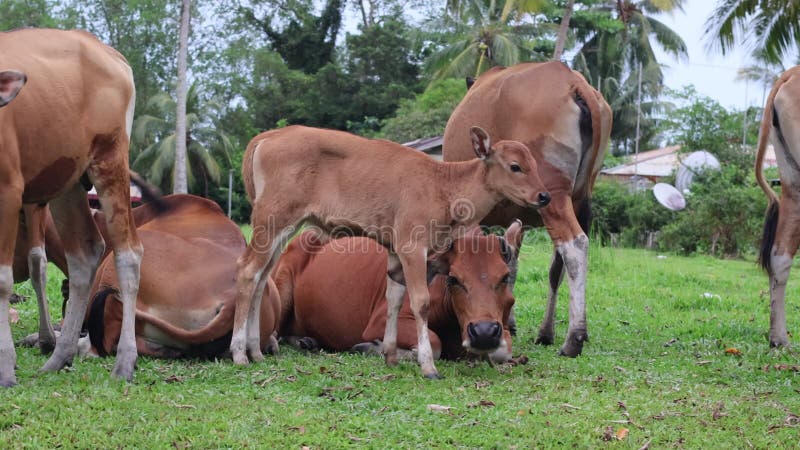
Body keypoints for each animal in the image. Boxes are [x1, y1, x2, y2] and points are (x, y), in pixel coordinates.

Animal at [1, 29, 143, 386]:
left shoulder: (9, 192)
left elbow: (3, 280)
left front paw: (5, 367)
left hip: (110, 161)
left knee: (128, 254)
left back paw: (124, 361)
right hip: (68, 182)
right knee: (85, 253)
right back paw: (60, 355)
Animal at [275, 222, 523, 363]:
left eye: (505, 277)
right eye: (453, 279)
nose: (484, 332)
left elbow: (504, 349)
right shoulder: (380, 321)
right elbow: (433, 344)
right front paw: (375, 348)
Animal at [442, 61, 613, 357]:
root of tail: (574, 82)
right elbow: (510, 260)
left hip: (553, 197)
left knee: (574, 245)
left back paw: (574, 337)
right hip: (581, 197)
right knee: (558, 264)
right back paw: (549, 332)